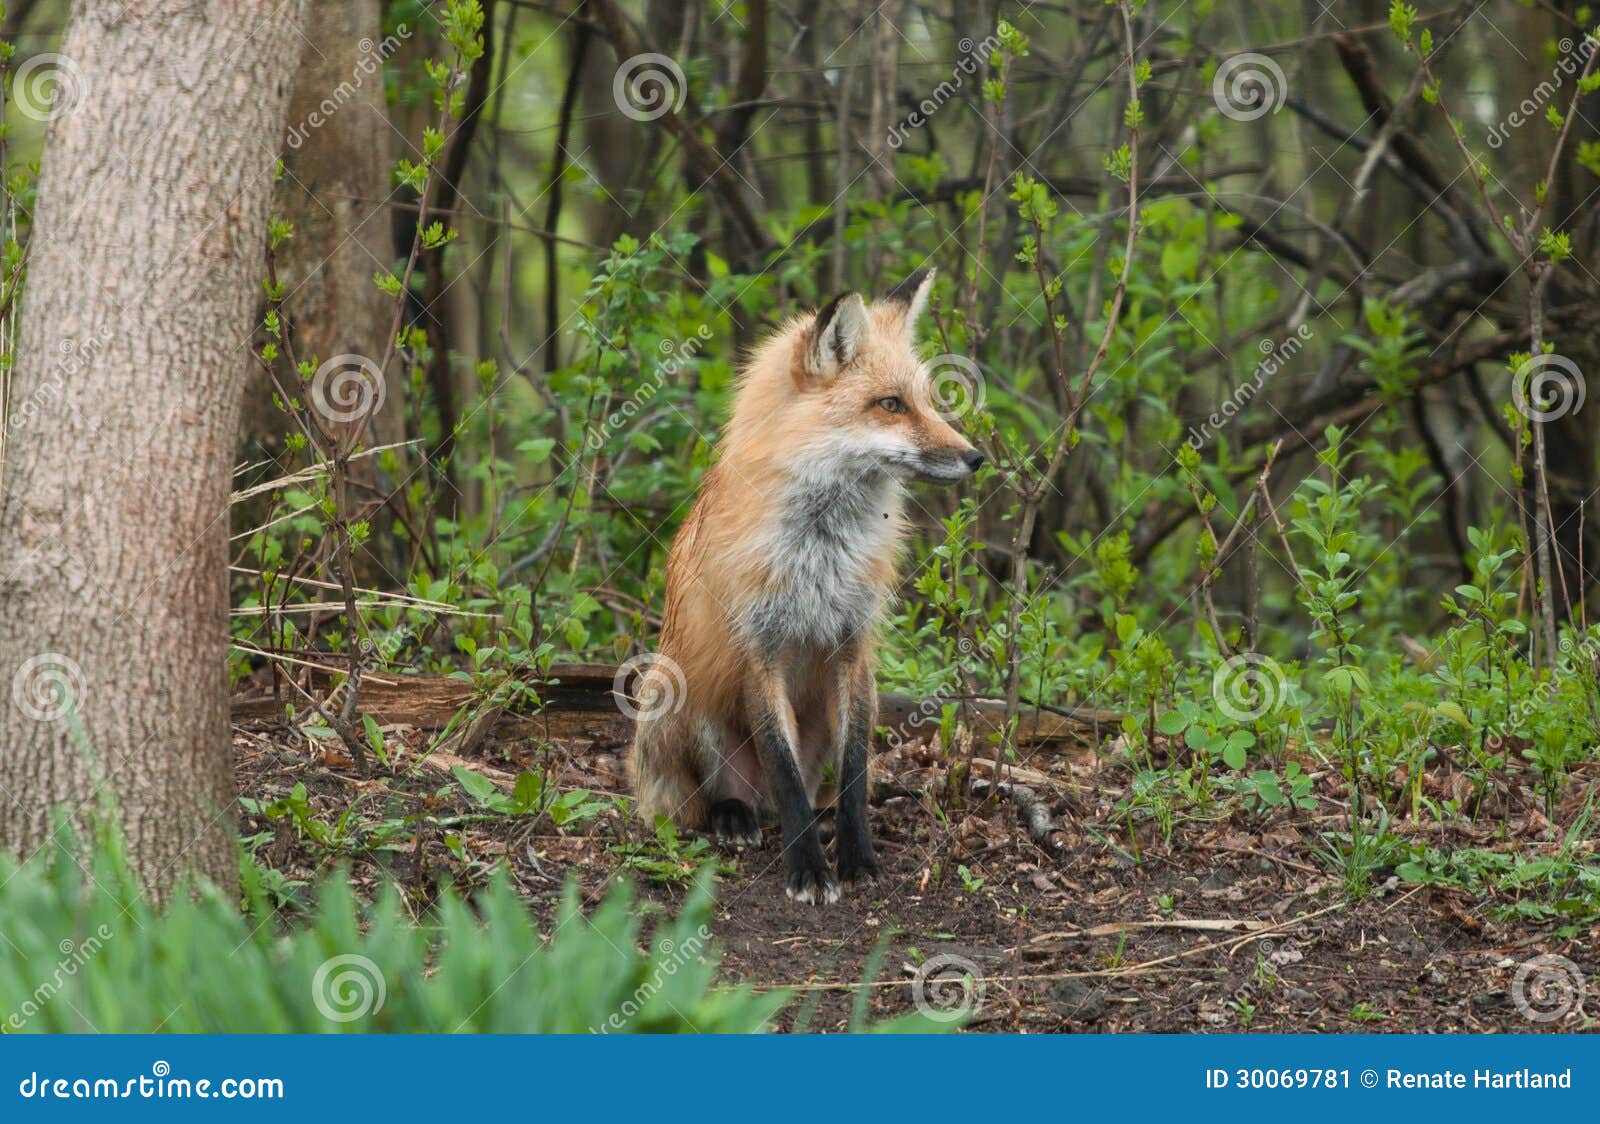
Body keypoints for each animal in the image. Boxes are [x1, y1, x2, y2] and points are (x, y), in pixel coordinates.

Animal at [626, 267, 982, 904]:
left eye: (927, 401)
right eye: (890, 405)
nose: (976, 457)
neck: (821, 551)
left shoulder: (853, 646)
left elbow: (854, 775)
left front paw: (856, 855)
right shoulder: (758, 648)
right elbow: (784, 767)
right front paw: (810, 870)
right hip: (678, 690)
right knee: (721, 797)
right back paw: (735, 817)